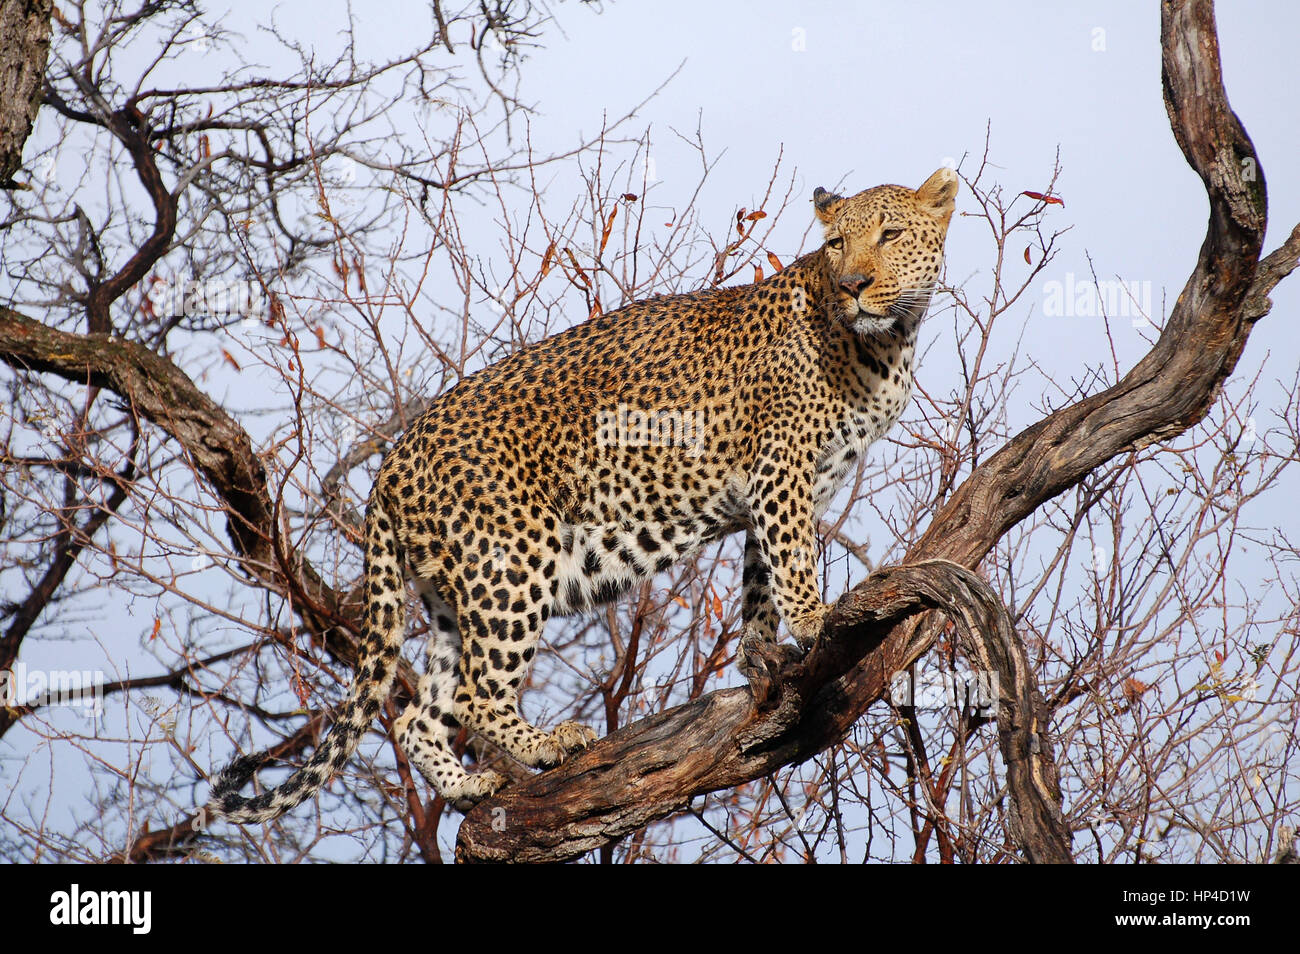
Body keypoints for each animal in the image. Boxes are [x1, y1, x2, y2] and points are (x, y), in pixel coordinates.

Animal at [206, 167, 958, 822]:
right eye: (836, 245)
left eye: (890, 234)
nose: (854, 283)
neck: (886, 343)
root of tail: (392, 461)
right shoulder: (781, 471)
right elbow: (793, 560)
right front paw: (814, 620)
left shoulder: (789, 489)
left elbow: (758, 581)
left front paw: (761, 656)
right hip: (511, 562)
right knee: (476, 694)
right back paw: (549, 744)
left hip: (450, 594)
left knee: (421, 715)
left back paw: (469, 787)